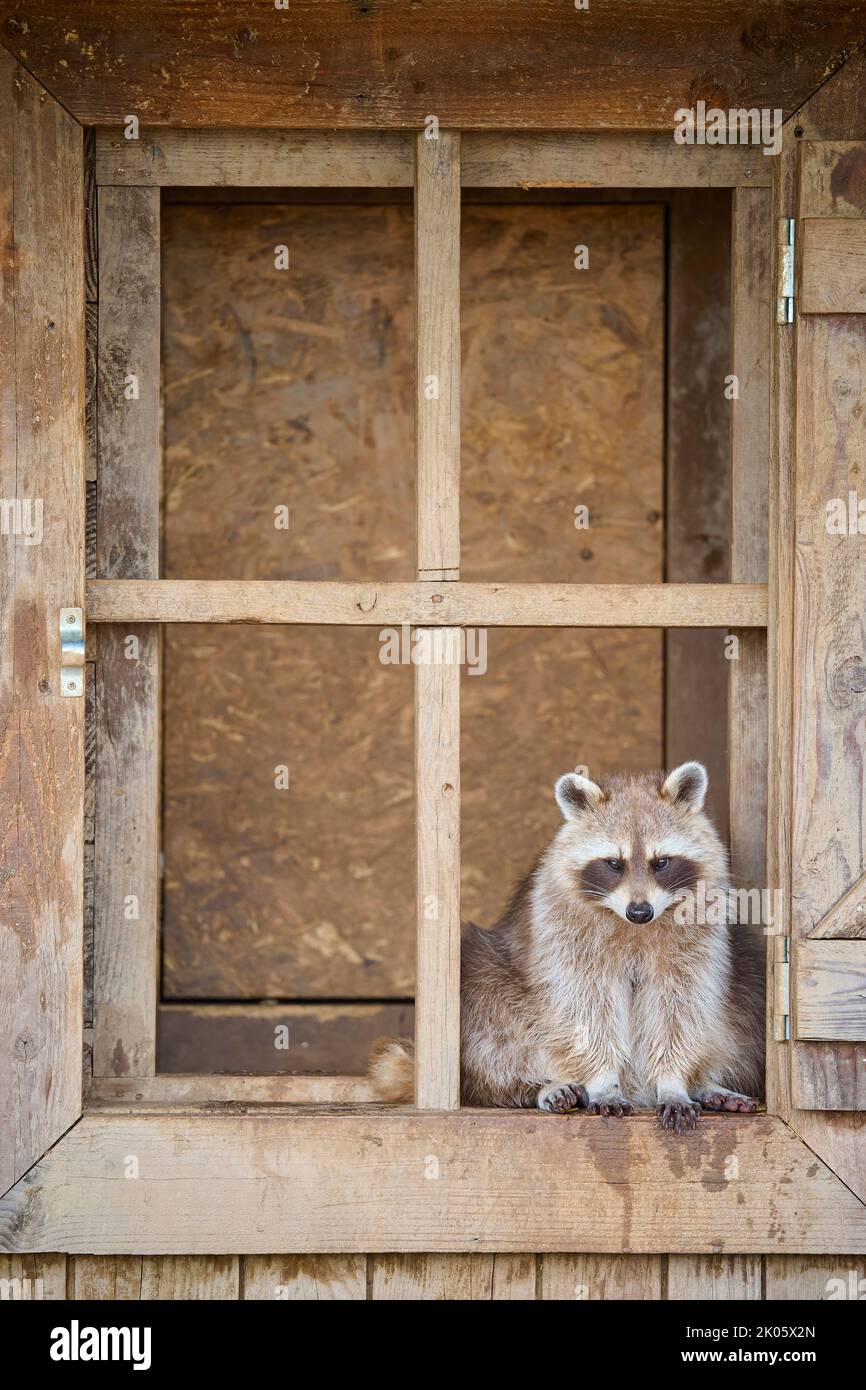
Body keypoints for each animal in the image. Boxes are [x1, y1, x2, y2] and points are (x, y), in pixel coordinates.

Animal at [370, 762, 763, 1131]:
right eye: (614, 864)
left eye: (661, 862)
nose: (640, 912)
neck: (631, 925)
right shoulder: (564, 934)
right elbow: (586, 1008)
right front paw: (603, 1080)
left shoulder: (698, 935)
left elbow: (679, 1006)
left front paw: (674, 1080)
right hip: (489, 974)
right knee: (490, 1023)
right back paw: (538, 1085)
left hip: (744, 971)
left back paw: (706, 1083)